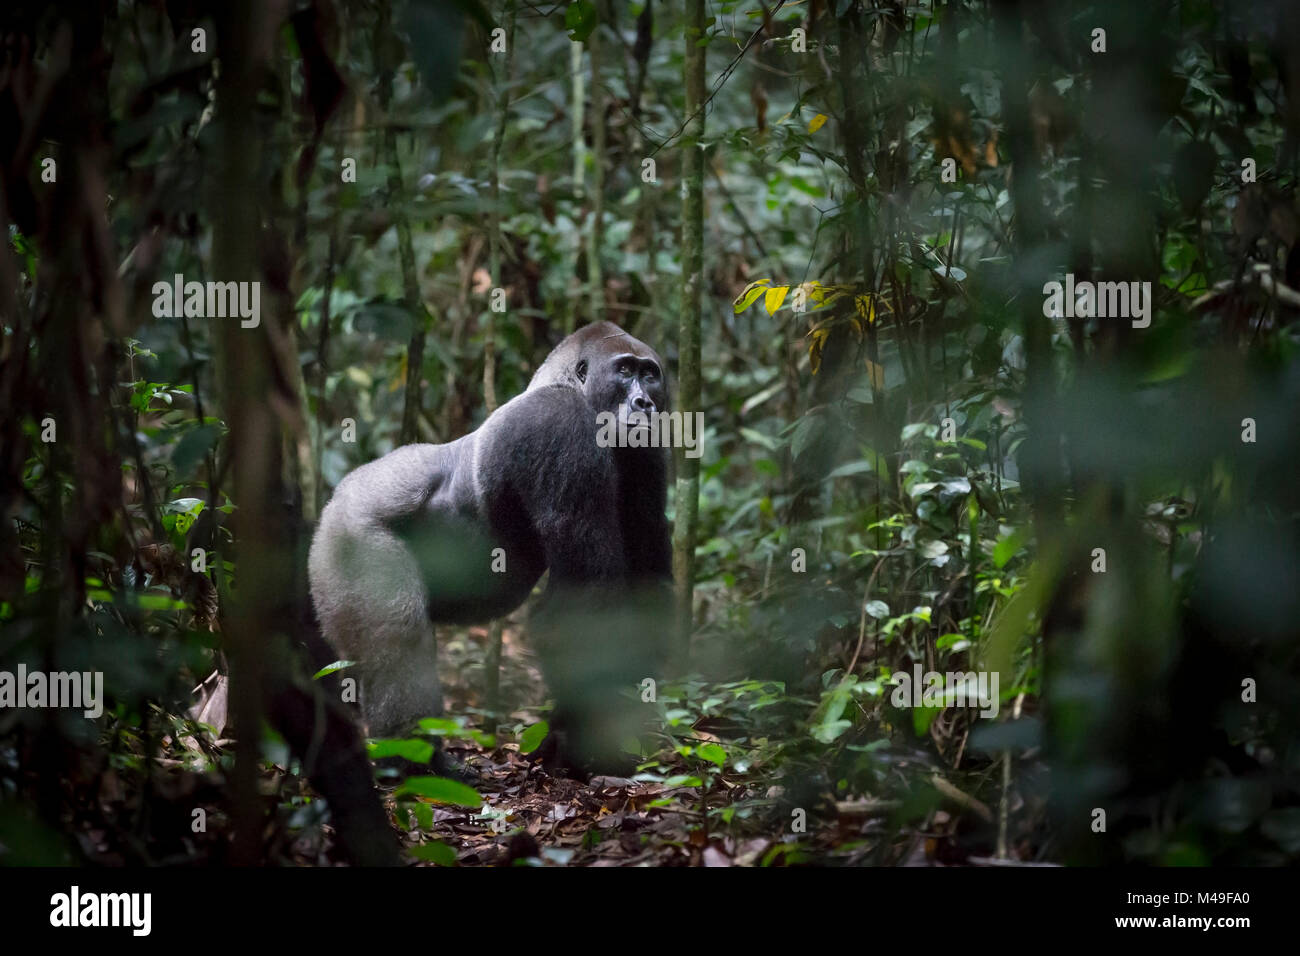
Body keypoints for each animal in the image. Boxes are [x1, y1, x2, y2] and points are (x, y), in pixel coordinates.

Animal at [307, 321, 671, 775]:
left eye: (650, 375)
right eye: (623, 371)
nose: (644, 402)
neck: (563, 382)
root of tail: (336, 499)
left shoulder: (646, 451)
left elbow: (647, 589)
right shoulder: (558, 423)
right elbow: (585, 604)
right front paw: (578, 740)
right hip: (348, 536)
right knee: (398, 634)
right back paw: (411, 756)